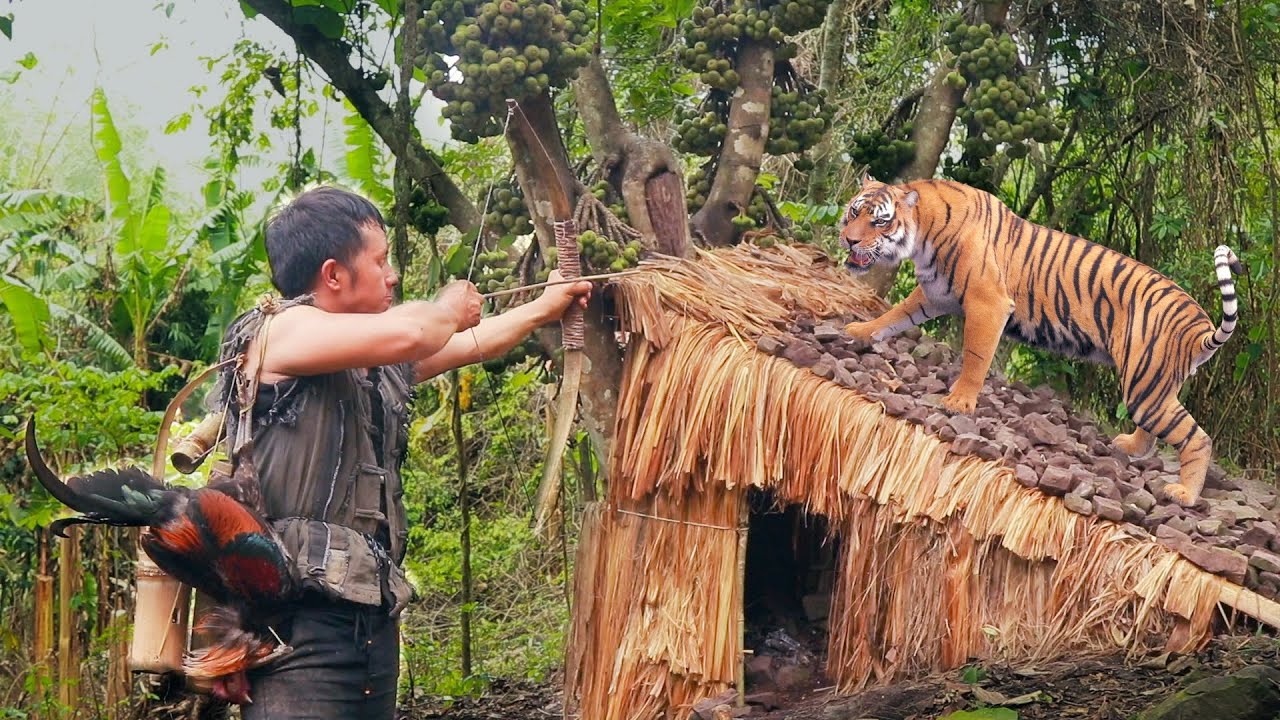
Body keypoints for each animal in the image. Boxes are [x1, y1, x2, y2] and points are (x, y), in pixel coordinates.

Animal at [839, 176, 1242, 508]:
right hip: (1155, 384)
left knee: (1197, 438)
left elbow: (975, 356)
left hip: (1145, 383)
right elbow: (894, 315)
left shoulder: (988, 302)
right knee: (1157, 429)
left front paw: (959, 402)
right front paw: (860, 331)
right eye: (854, 212)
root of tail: (1200, 324)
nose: (849, 239)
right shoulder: (935, 293)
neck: (925, 233)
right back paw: (1128, 446)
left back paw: (1185, 493)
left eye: (880, 221)